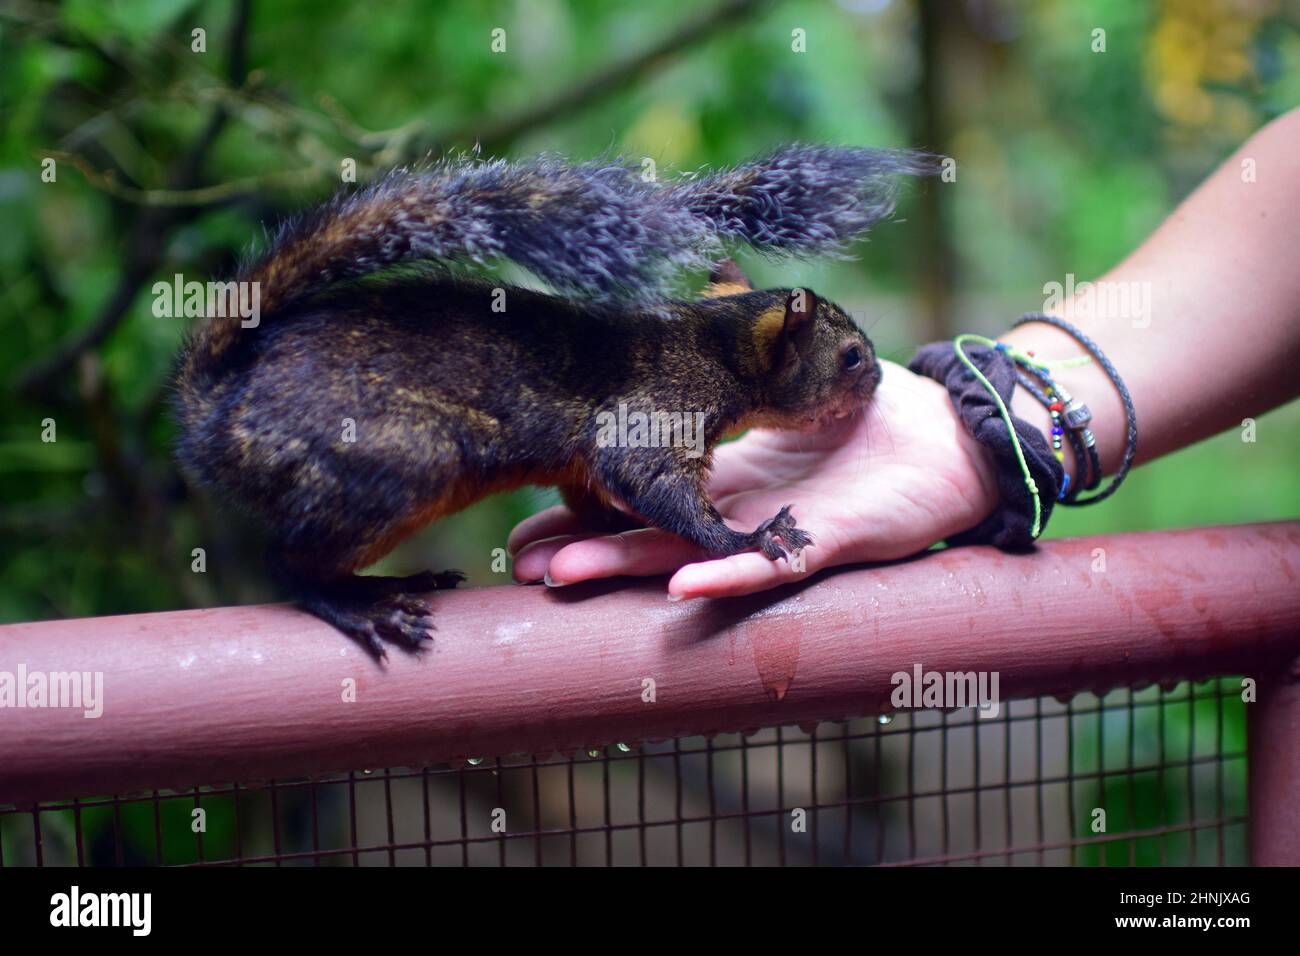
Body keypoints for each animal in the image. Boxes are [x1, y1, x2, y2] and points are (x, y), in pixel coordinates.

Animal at [175, 145, 932, 658]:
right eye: (851, 357)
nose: (880, 380)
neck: (717, 346)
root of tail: (216, 411)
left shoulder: (587, 466)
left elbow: (591, 496)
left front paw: (615, 528)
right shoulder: (659, 409)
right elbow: (651, 480)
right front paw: (751, 536)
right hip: (399, 458)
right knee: (287, 564)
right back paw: (363, 604)